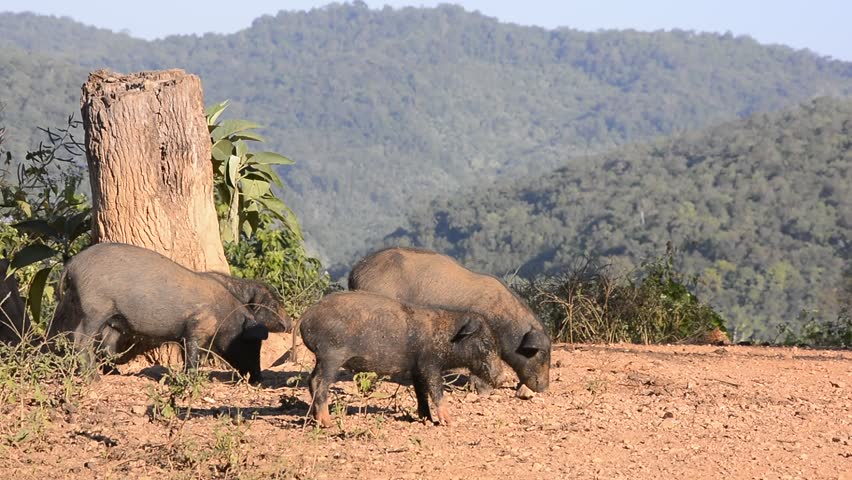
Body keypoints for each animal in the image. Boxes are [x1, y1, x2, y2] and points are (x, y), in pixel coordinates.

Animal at [50, 242, 269, 382]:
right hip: (95, 309)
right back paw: (94, 379)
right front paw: (191, 378)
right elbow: (193, 355)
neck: (225, 315)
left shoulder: (185, 335)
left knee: (107, 344)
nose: (258, 377)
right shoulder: (197, 327)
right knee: (80, 339)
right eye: (249, 343)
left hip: (114, 318)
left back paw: (115, 374)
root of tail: (72, 264)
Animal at [299, 291, 501, 427]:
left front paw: (426, 419)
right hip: (331, 356)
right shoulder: (430, 364)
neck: (447, 338)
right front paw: (450, 422)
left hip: (322, 358)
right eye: (486, 342)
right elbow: (437, 391)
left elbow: (422, 394)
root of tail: (306, 316)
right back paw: (328, 423)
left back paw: (316, 419)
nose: (501, 378)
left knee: (312, 379)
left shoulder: (416, 369)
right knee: (320, 383)